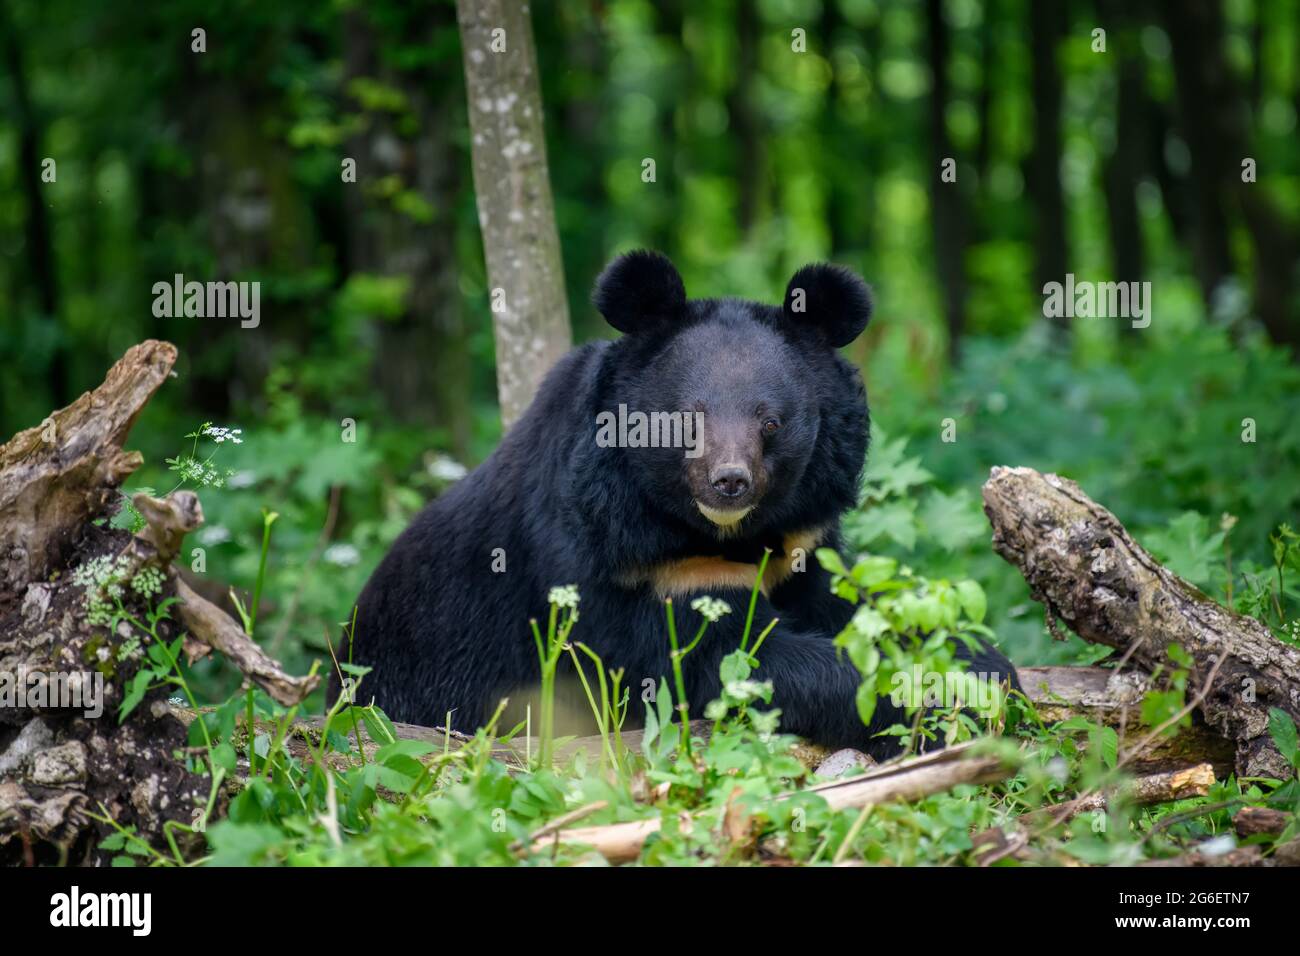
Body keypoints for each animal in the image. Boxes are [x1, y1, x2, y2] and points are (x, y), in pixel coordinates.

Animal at [333, 250, 1018, 759]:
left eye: (770, 422)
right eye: (687, 419)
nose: (729, 482)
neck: (720, 535)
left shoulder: (802, 538)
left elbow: (856, 604)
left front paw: (983, 666)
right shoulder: (621, 563)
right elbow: (717, 660)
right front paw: (923, 703)